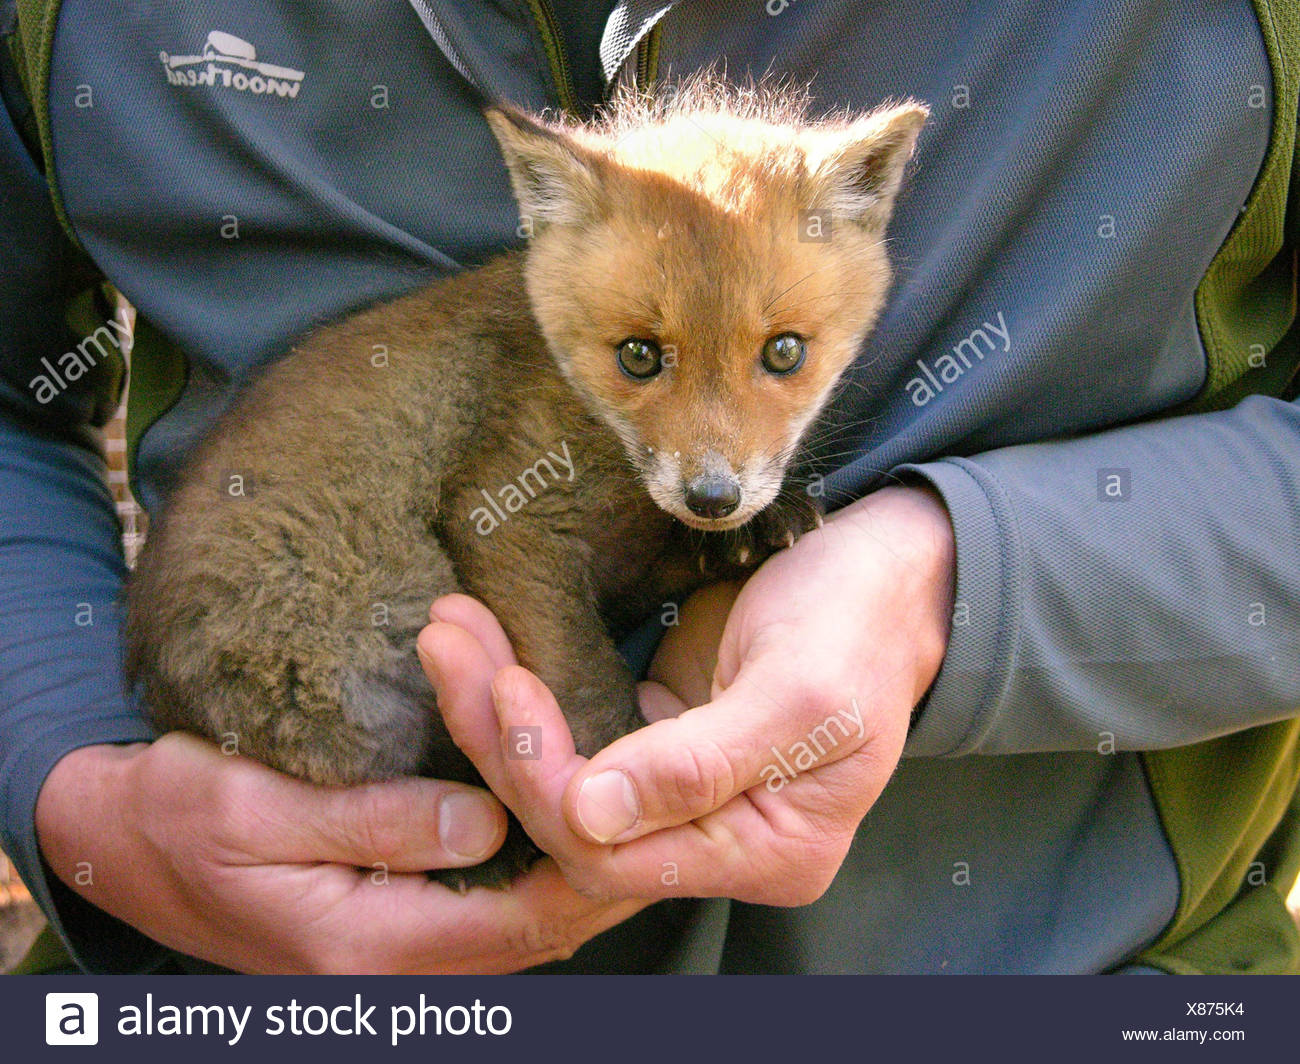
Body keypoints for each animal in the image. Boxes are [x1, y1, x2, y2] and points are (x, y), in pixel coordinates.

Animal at [124, 77, 927, 888]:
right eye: (638, 355)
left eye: (785, 352)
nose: (713, 498)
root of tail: (151, 680)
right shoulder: (502, 512)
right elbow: (581, 671)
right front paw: (613, 773)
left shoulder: (626, 547)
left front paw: (755, 530)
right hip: (379, 632)